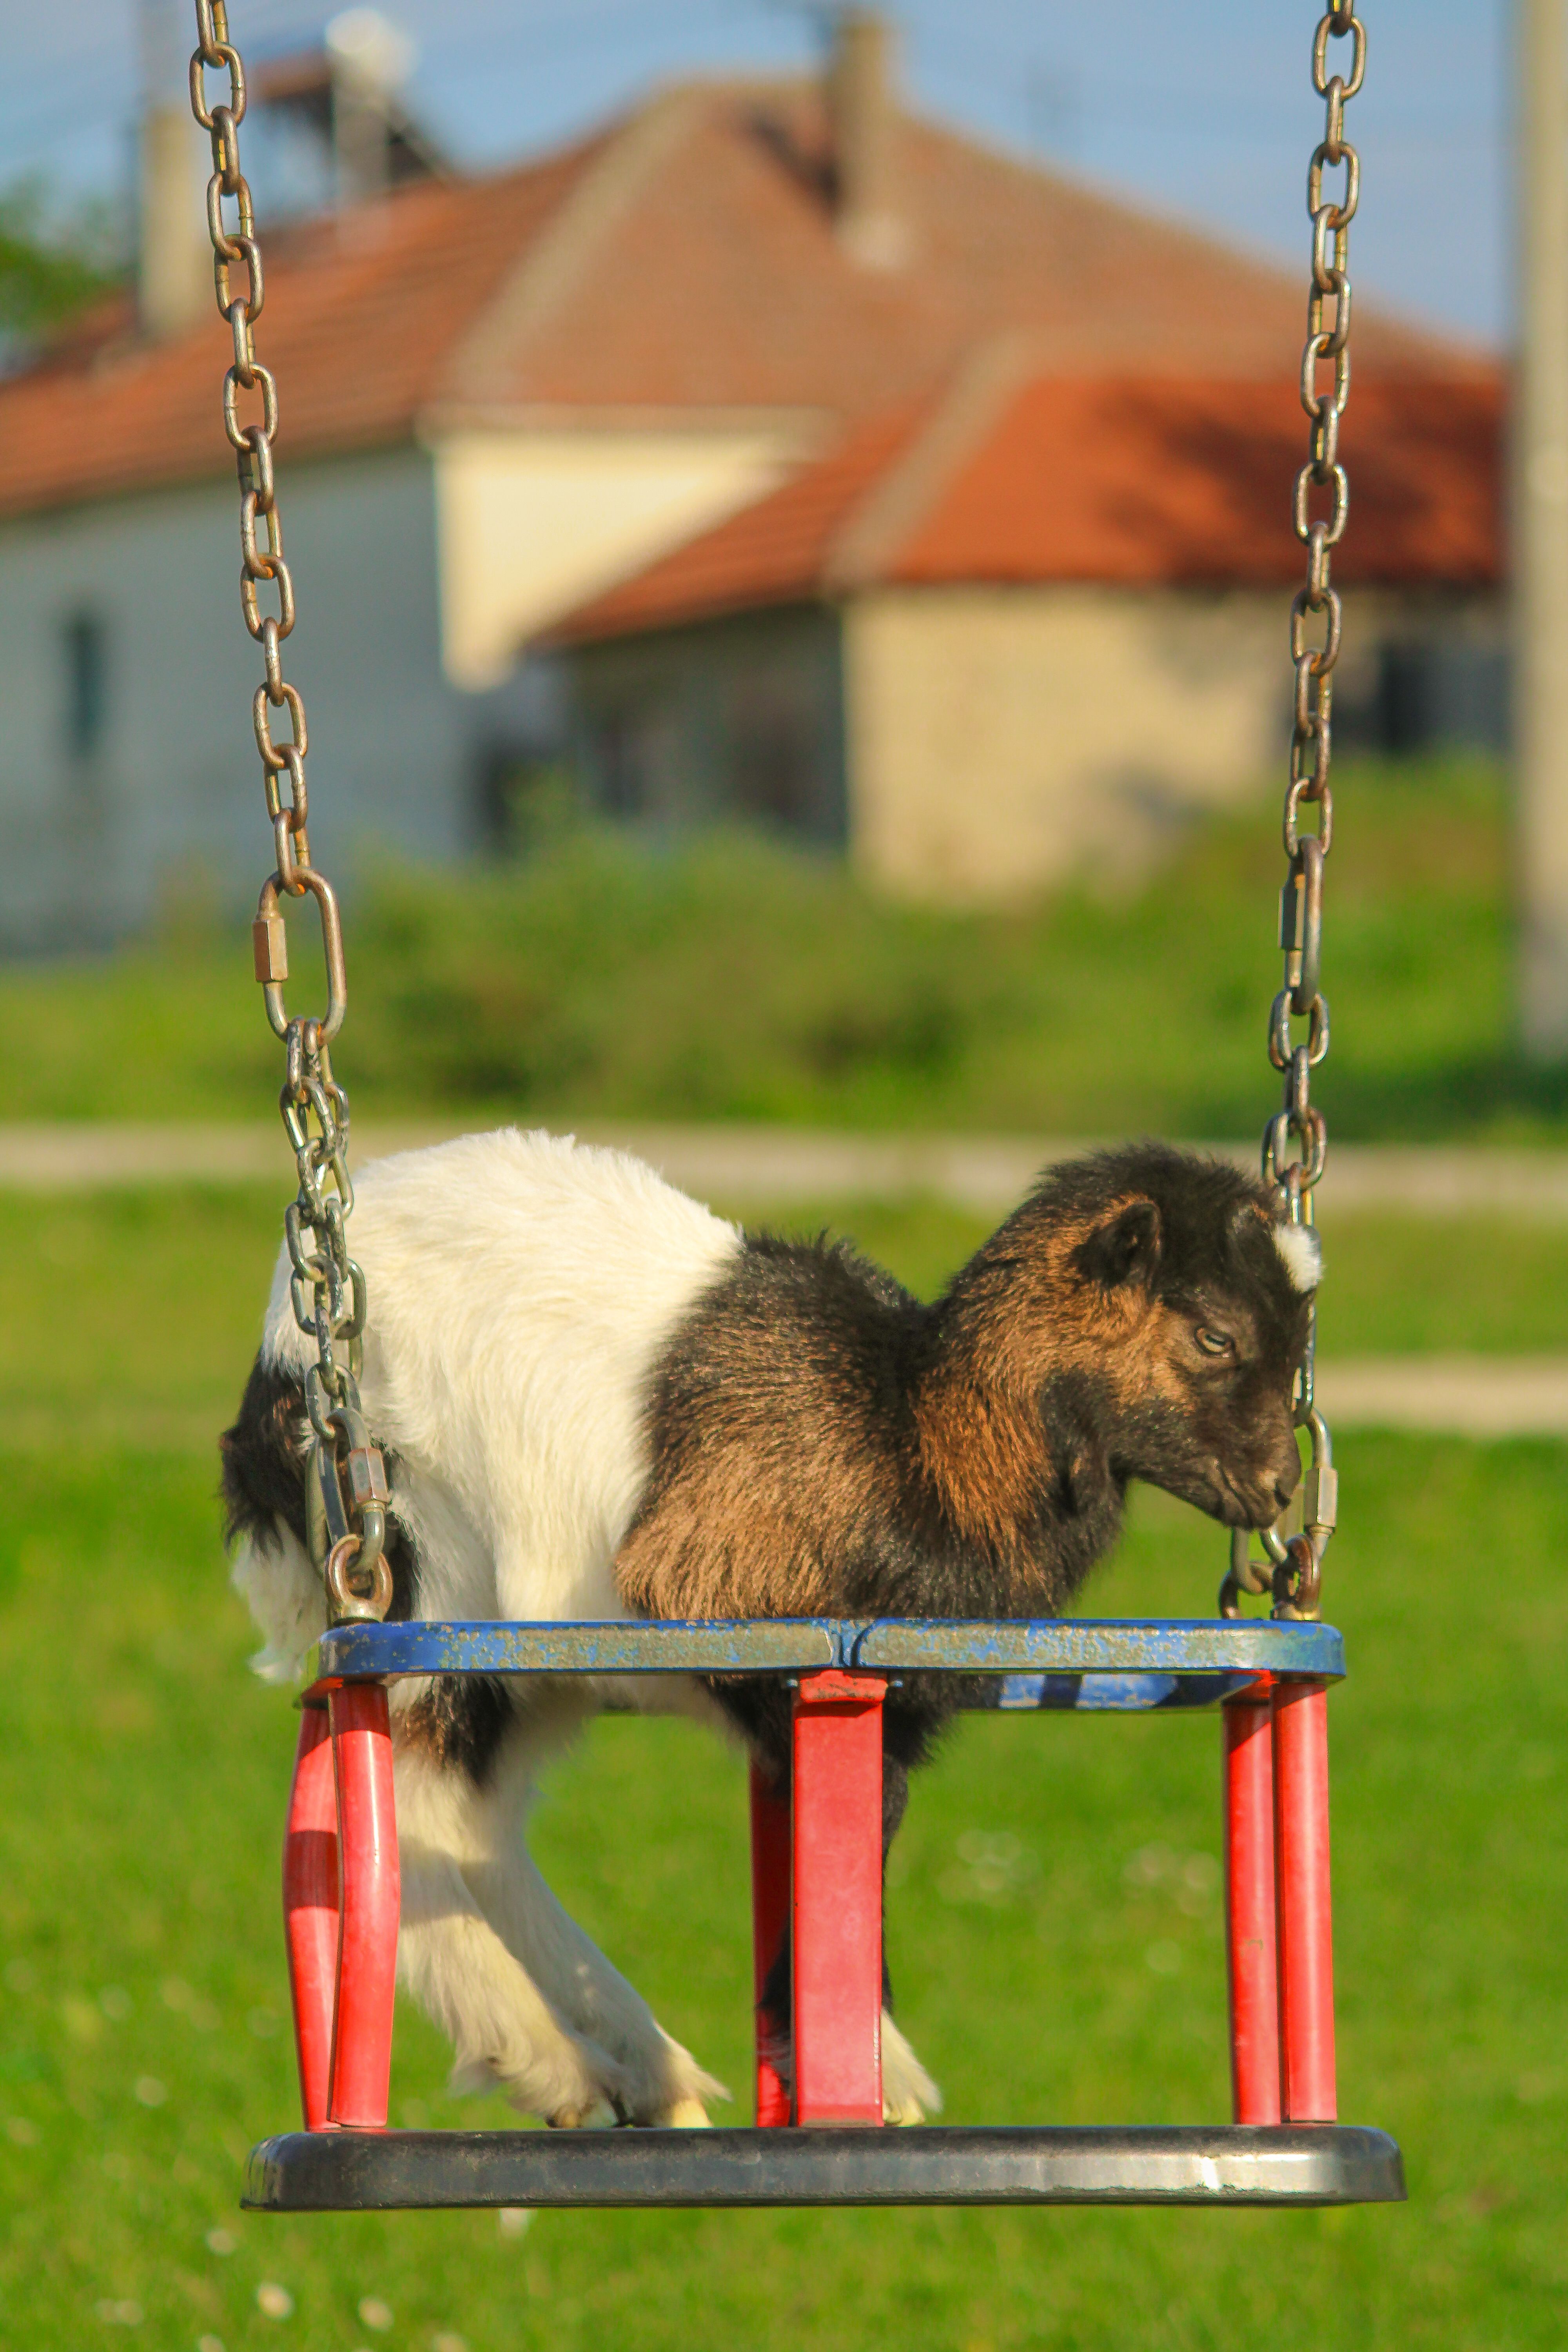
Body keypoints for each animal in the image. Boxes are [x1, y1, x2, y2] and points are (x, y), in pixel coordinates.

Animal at [221, 1129, 1318, 2131]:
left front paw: (856, 2059)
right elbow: (854, 1821)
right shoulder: (729, 1602)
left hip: (522, 1665)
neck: (915, 1427)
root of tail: (276, 1359)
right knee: (396, 1810)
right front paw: (865, 2067)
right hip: (429, 1572)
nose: (1277, 1491)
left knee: (467, 1823)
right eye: (1214, 1336)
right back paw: (553, 2060)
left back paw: (641, 2072)